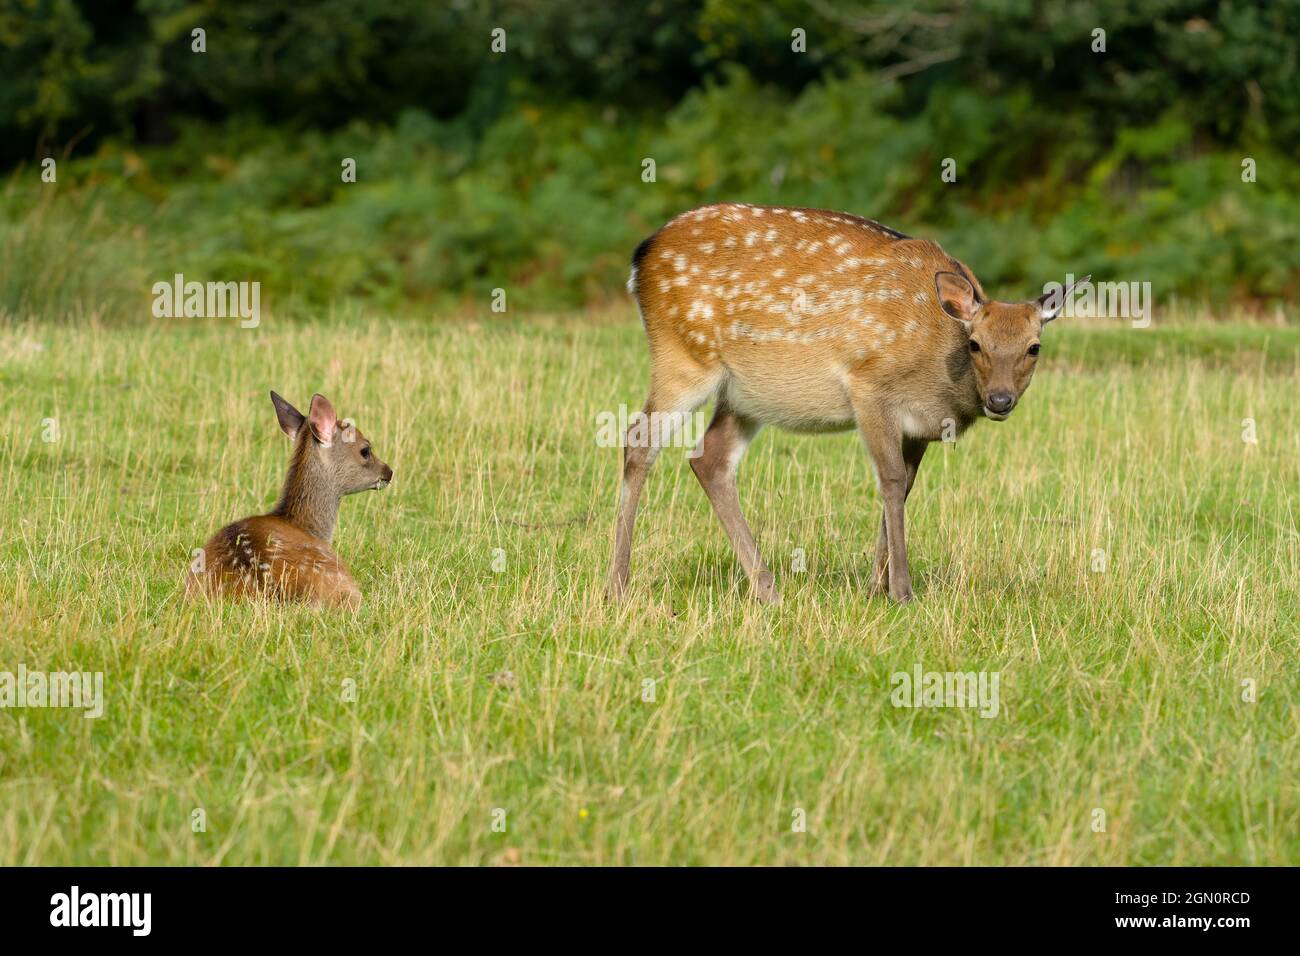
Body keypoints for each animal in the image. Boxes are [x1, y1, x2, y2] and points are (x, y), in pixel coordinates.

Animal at [607, 203, 1085, 604]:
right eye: (975, 344)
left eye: (1033, 348)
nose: (999, 400)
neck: (939, 374)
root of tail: (641, 257)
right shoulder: (869, 386)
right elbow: (890, 480)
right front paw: (901, 592)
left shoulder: (919, 426)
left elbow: (906, 486)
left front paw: (876, 586)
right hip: (686, 355)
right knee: (638, 440)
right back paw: (619, 585)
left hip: (744, 394)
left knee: (710, 459)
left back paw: (767, 589)